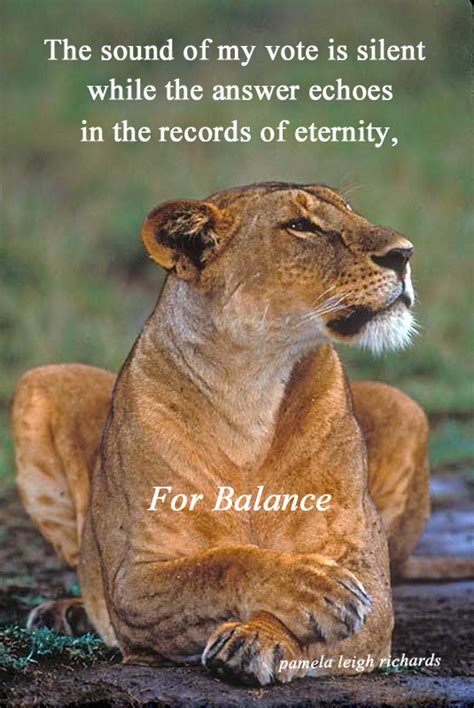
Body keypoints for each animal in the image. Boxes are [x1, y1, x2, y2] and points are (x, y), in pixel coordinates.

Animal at [13, 182, 431, 686]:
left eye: (351, 211)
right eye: (301, 226)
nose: (404, 253)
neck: (251, 388)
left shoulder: (371, 579)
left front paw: (259, 638)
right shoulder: (134, 583)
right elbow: (222, 565)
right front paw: (313, 589)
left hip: (403, 406)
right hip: (41, 381)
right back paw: (65, 613)